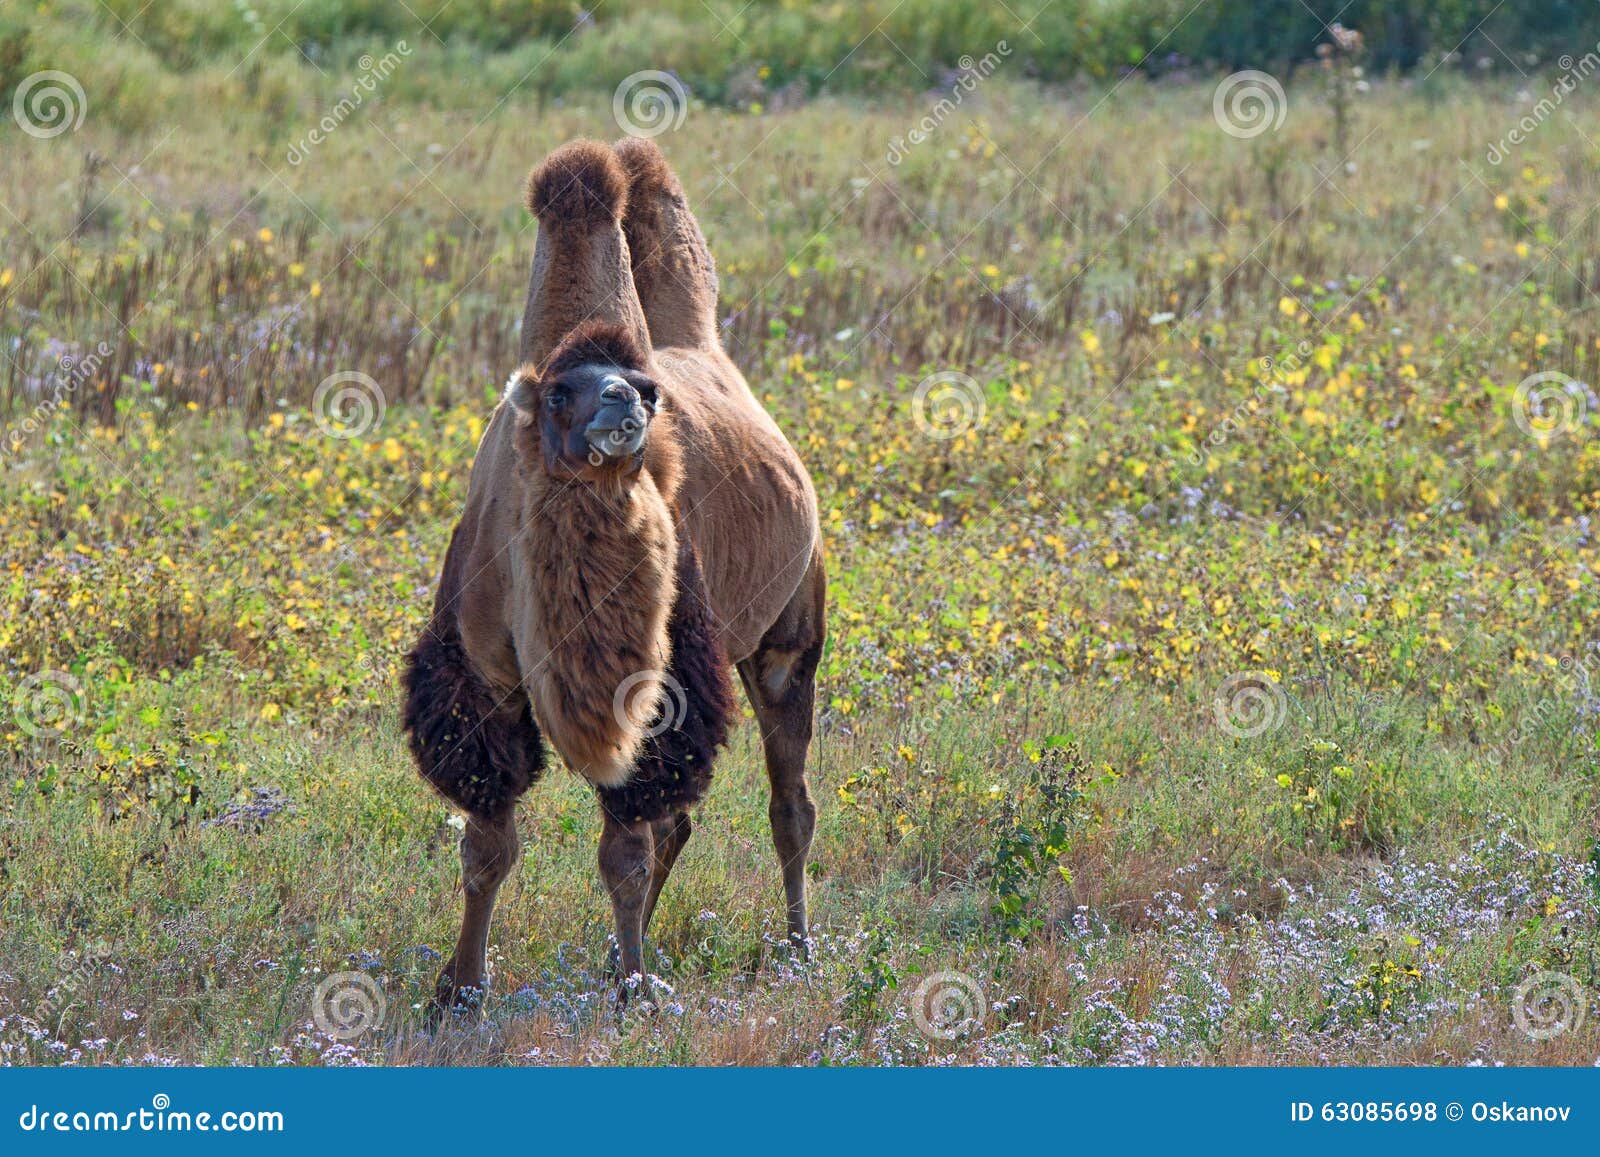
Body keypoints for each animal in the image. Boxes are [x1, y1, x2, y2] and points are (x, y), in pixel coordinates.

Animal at [402, 138, 825, 1011]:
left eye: (647, 389)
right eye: (562, 391)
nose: (624, 404)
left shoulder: (660, 684)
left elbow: (622, 853)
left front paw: (635, 990)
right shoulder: (482, 680)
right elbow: (487, 846)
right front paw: (458, 987)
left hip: (787, 636)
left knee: (787, 802)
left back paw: (798, 947)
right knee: (683, 822)